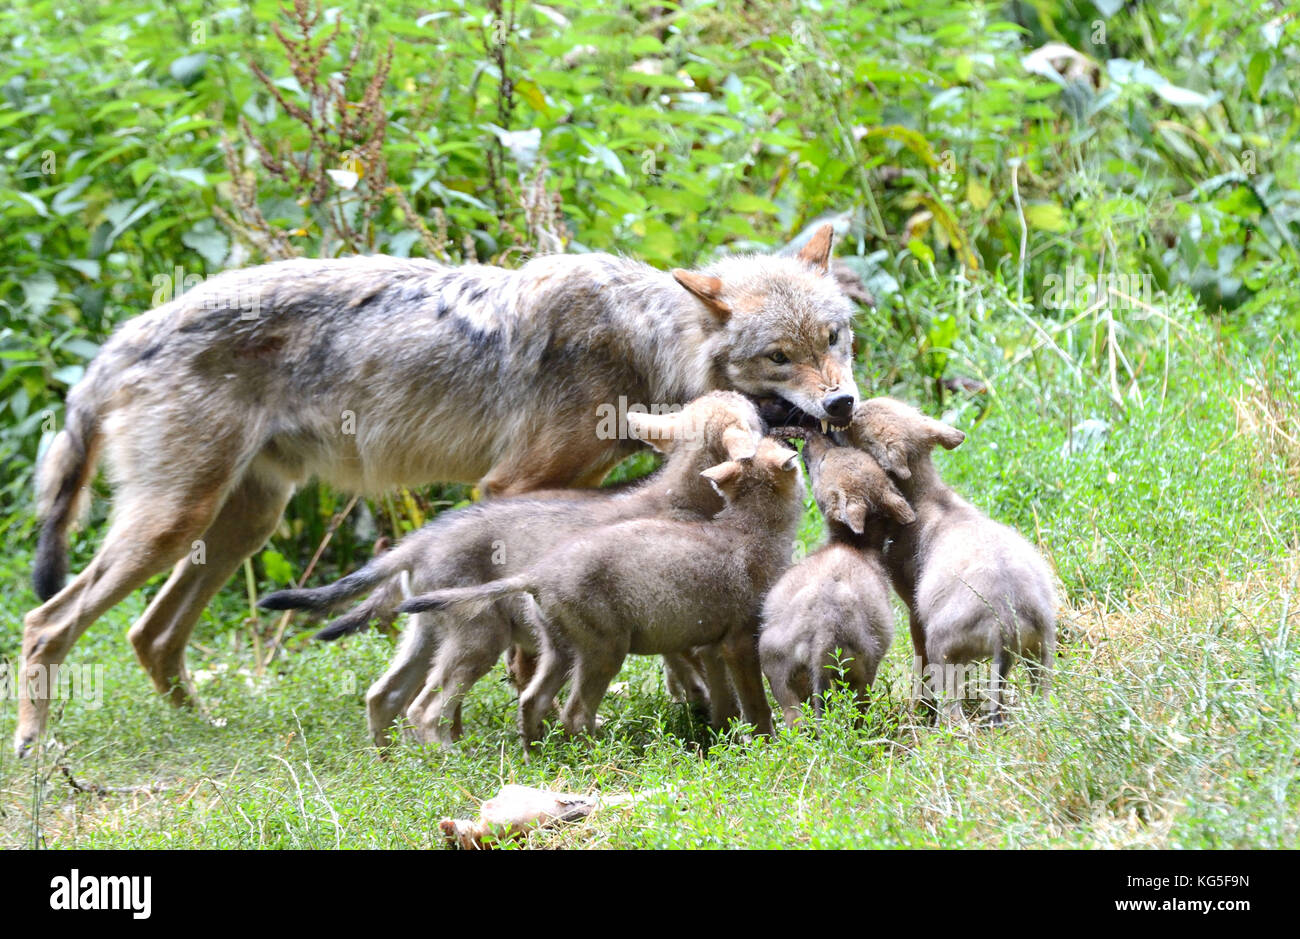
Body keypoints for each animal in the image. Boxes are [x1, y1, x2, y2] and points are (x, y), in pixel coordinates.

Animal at [16, 225, 856, 755]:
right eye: (778, 356)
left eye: (835, 339)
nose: (844, 403)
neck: (642, 341)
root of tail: (128, 331)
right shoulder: (510, 482)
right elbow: (529, 638)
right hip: (171, 525)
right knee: (45, 621)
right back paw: (33, 743)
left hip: (237, 526)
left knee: (149, 635)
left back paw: (207, 729)